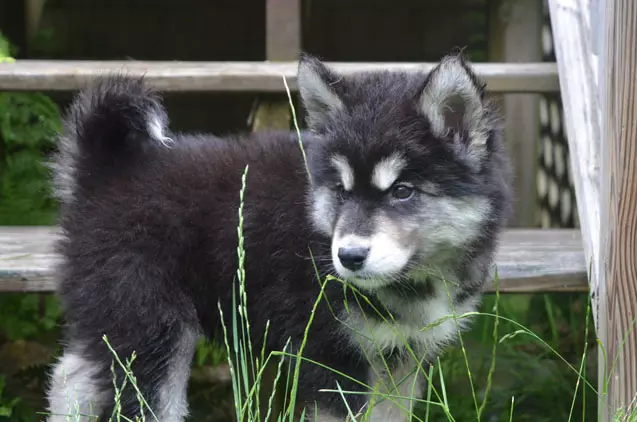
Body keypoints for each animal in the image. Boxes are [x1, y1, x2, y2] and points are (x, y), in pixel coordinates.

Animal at [44, 53, 512, 422]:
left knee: (71, 376)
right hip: (150, 327)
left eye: (402, 191)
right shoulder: (330, 362)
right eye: (340, 190)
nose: (349, 256)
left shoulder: (403, 358)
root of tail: (106, 170)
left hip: (114, 321)